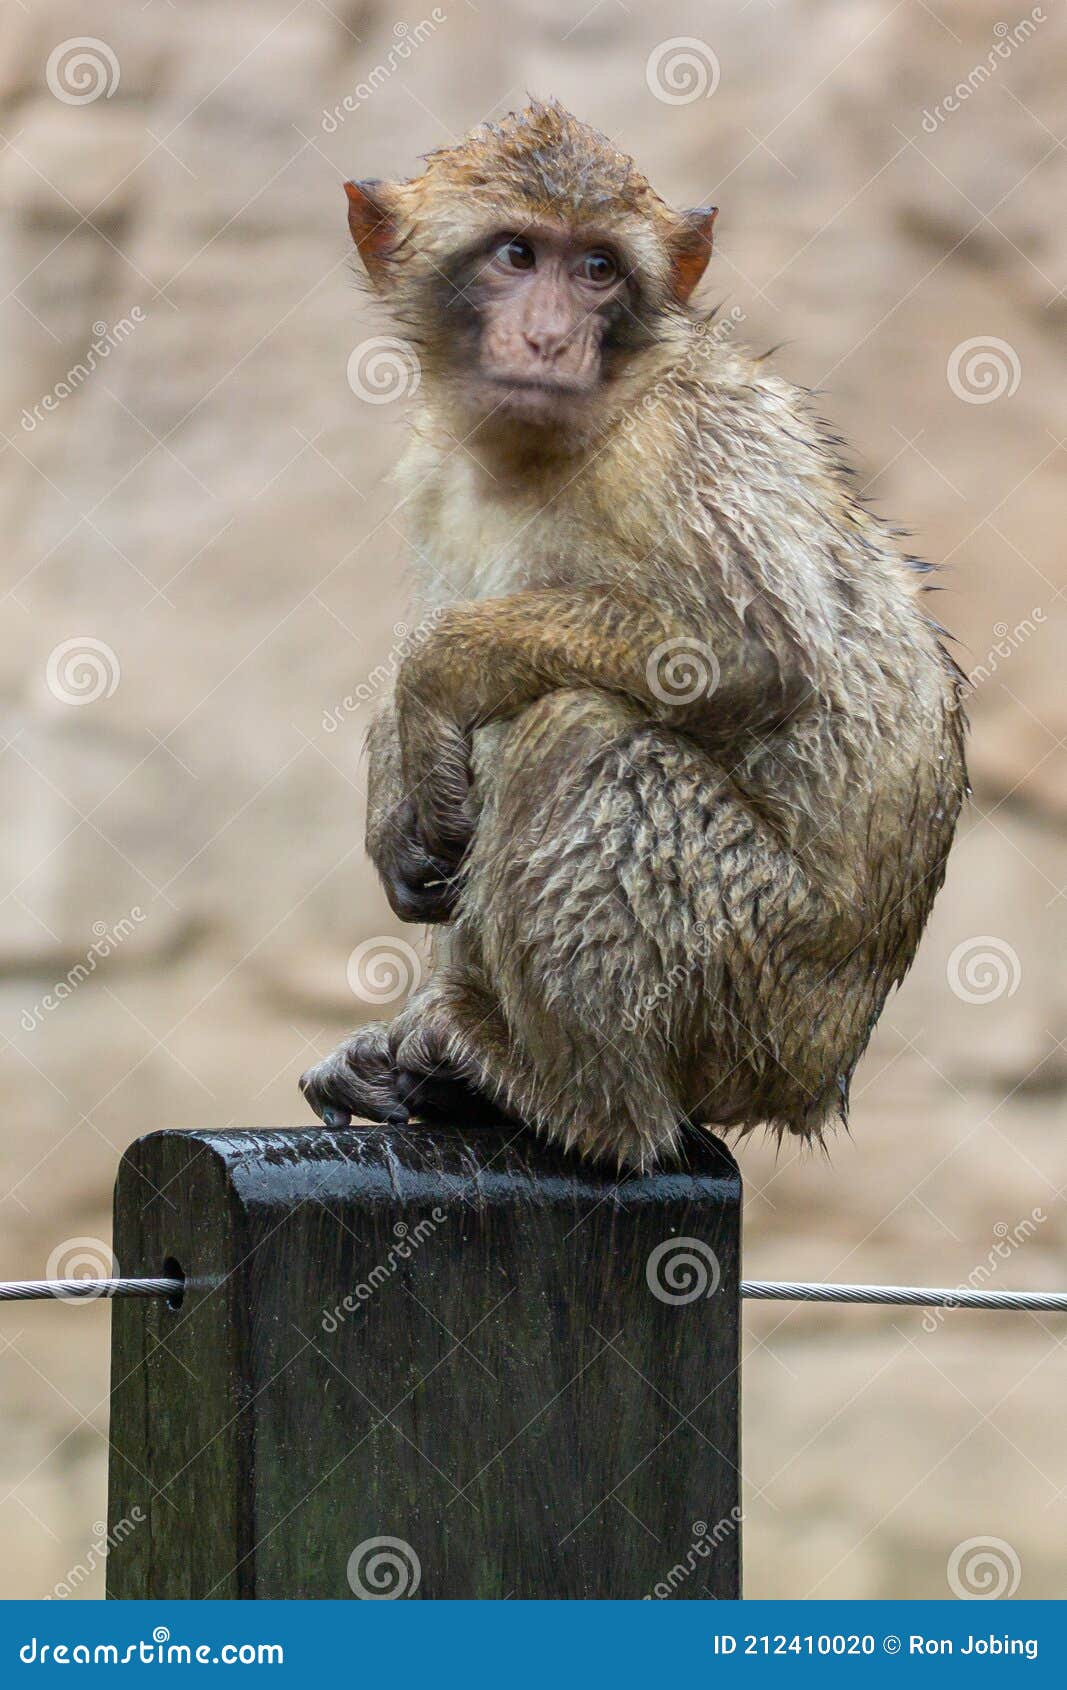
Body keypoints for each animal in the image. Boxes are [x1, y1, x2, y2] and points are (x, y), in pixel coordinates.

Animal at [299, 100, 968, 1168]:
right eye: (517, 254)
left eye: (598, 268)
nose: (546, 335)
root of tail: (821, 1075)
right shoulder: (437, 472)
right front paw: (392, 765)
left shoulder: (678, 444)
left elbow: (749, 656)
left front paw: (433, 675)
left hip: (755, 982)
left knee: (582, 735)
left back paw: (577, 1099)